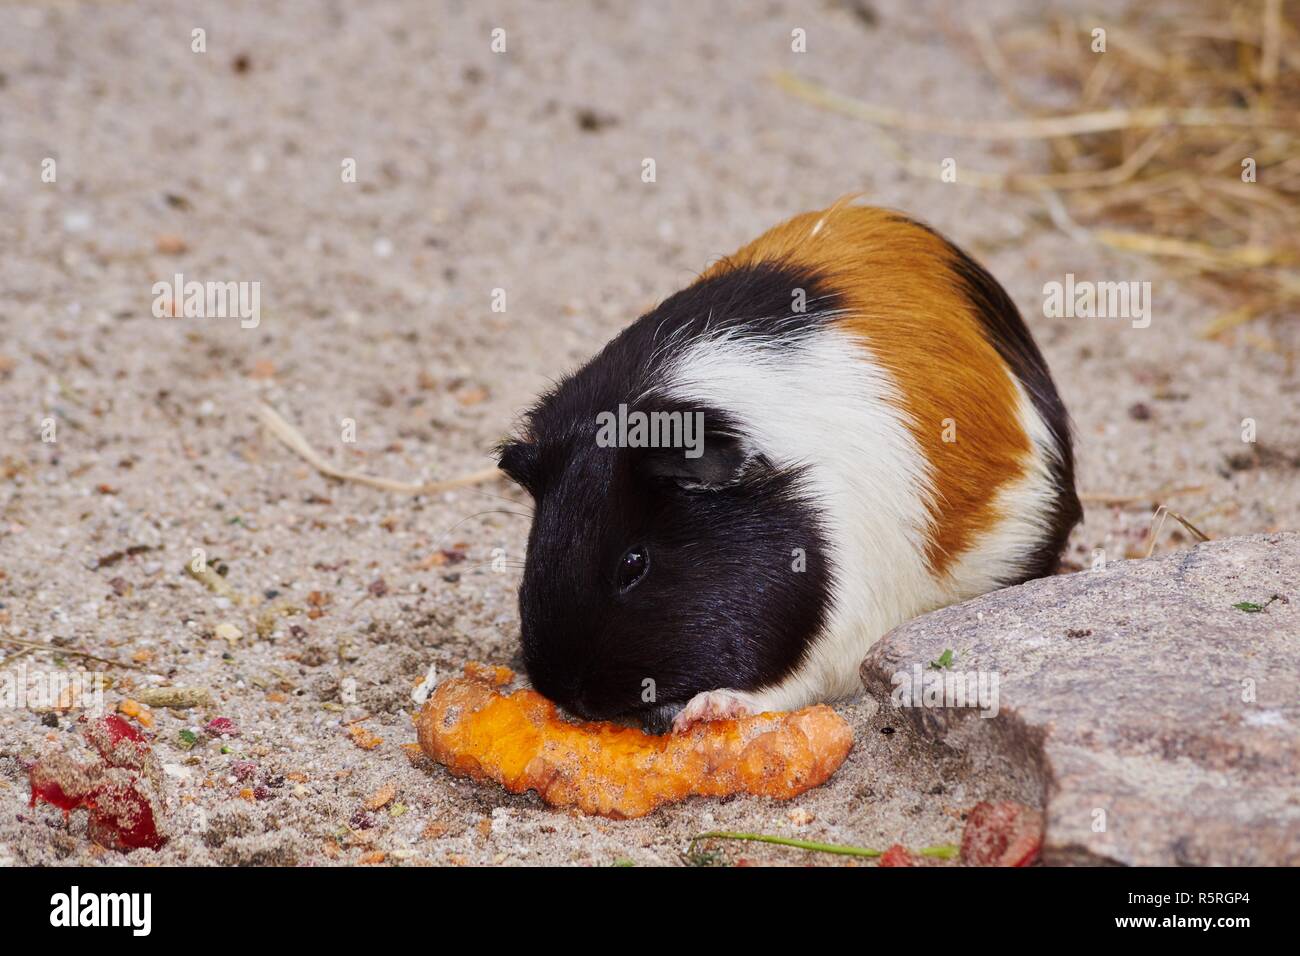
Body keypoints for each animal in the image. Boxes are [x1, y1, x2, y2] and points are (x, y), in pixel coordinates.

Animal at [497, 199, 1080, 733]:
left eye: (633, 563)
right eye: (538, 542)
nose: (571, 696)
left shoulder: (840, 629)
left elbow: (789, 683)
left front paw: (705, 710)